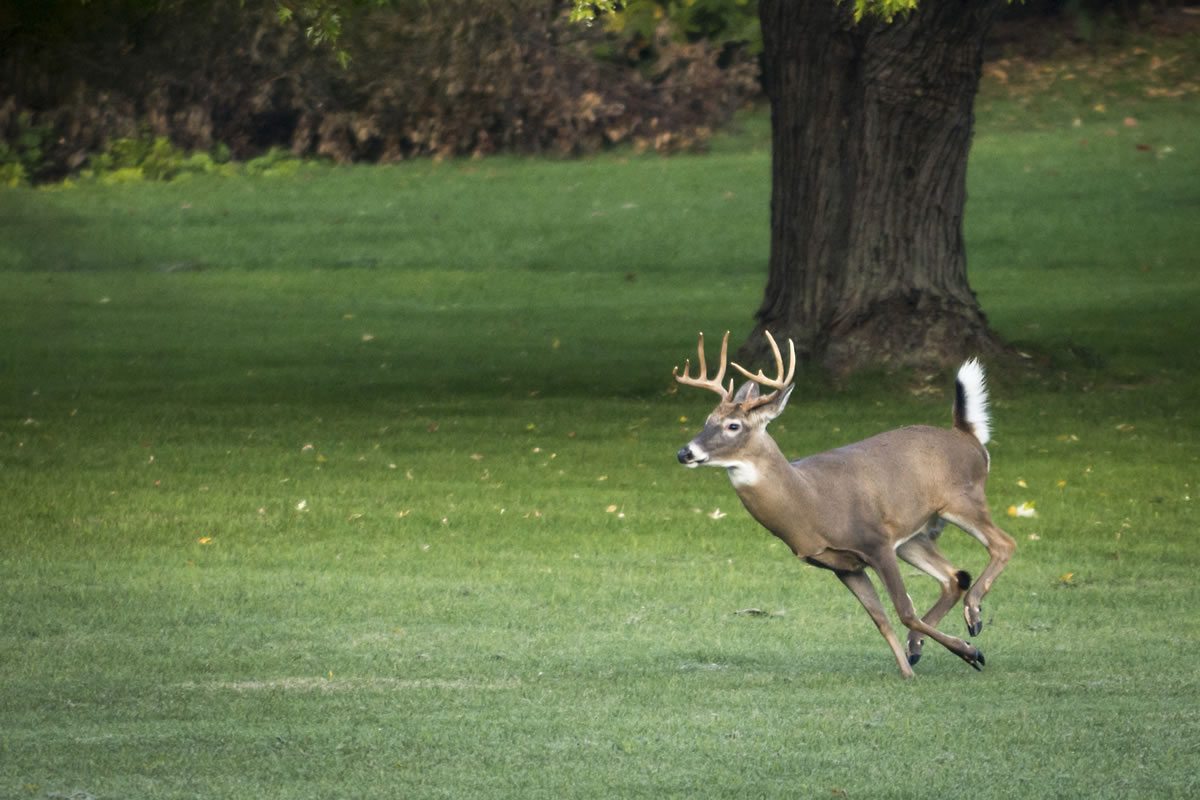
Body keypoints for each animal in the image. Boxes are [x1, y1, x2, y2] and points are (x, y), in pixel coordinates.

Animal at [673, 330, 1016, 677]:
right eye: (707, 420)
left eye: (733, 426)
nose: (685, 452)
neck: (811, 503)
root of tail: (967, 435)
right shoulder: (843, 565)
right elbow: (880, 619)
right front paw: (908, 671)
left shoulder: (876, 541)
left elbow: (904, 609)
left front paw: (971, 652)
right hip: (912, 536)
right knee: (954, 576)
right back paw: (918, 645)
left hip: (962, 499)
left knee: (1003, 544)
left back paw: (972, 617)